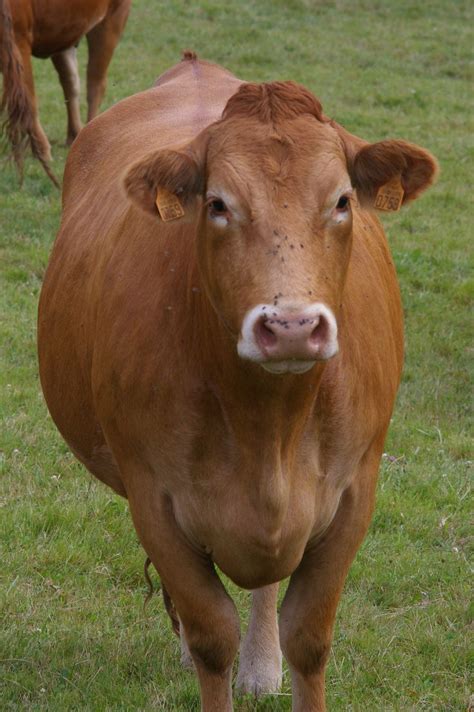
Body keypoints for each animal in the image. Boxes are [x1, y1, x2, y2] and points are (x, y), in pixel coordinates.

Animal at [0, 0, 131, 185]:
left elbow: (29, 101)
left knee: (95, 83)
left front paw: (42, 151)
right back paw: (74, 135)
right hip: (65, 35)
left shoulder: (19, 39)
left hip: (112, 19)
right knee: (71, 81)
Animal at [37, 52, 438, 711]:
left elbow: (309, 637)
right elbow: (210, 637)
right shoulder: (153, 496)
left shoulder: (355, 492)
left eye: (342, 200)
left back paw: (261, 664)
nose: (292, 326)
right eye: (218, 204)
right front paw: (199, 649)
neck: (268, 421)